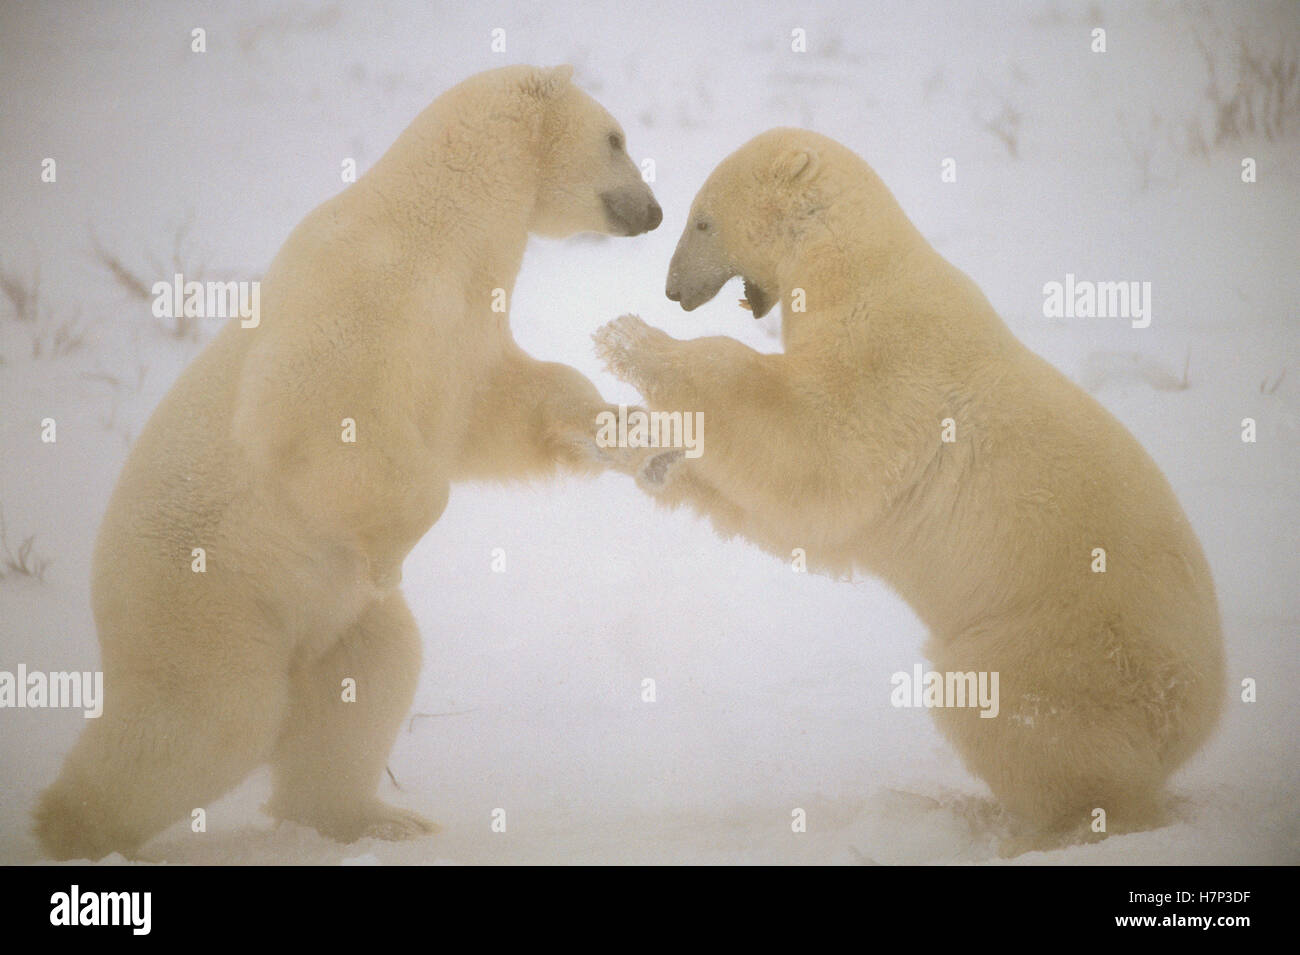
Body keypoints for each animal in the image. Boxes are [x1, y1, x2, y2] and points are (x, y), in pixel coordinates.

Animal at [35, 64, 661, 860]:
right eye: (615, 138)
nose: (655, 211)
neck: (440, 224)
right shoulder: (359, 296)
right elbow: (317, 418)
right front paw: (391, 554)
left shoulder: (467, 329)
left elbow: (499, 409)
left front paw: (638, 435)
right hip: (208, 599)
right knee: (207, 723)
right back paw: (68, 828)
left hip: (324, 621)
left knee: (369, 677)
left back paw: (376, 818)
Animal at [593, 128, 1225, 851]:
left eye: (703, 220)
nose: (674, 292)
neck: (854, 269)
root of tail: (1197, 720)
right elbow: (778, 511)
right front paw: (634, 440)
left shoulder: (889, 363)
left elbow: (812, 451)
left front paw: (632, 339)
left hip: (1061, 647)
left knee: (1010, 714)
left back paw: (1032, 827)